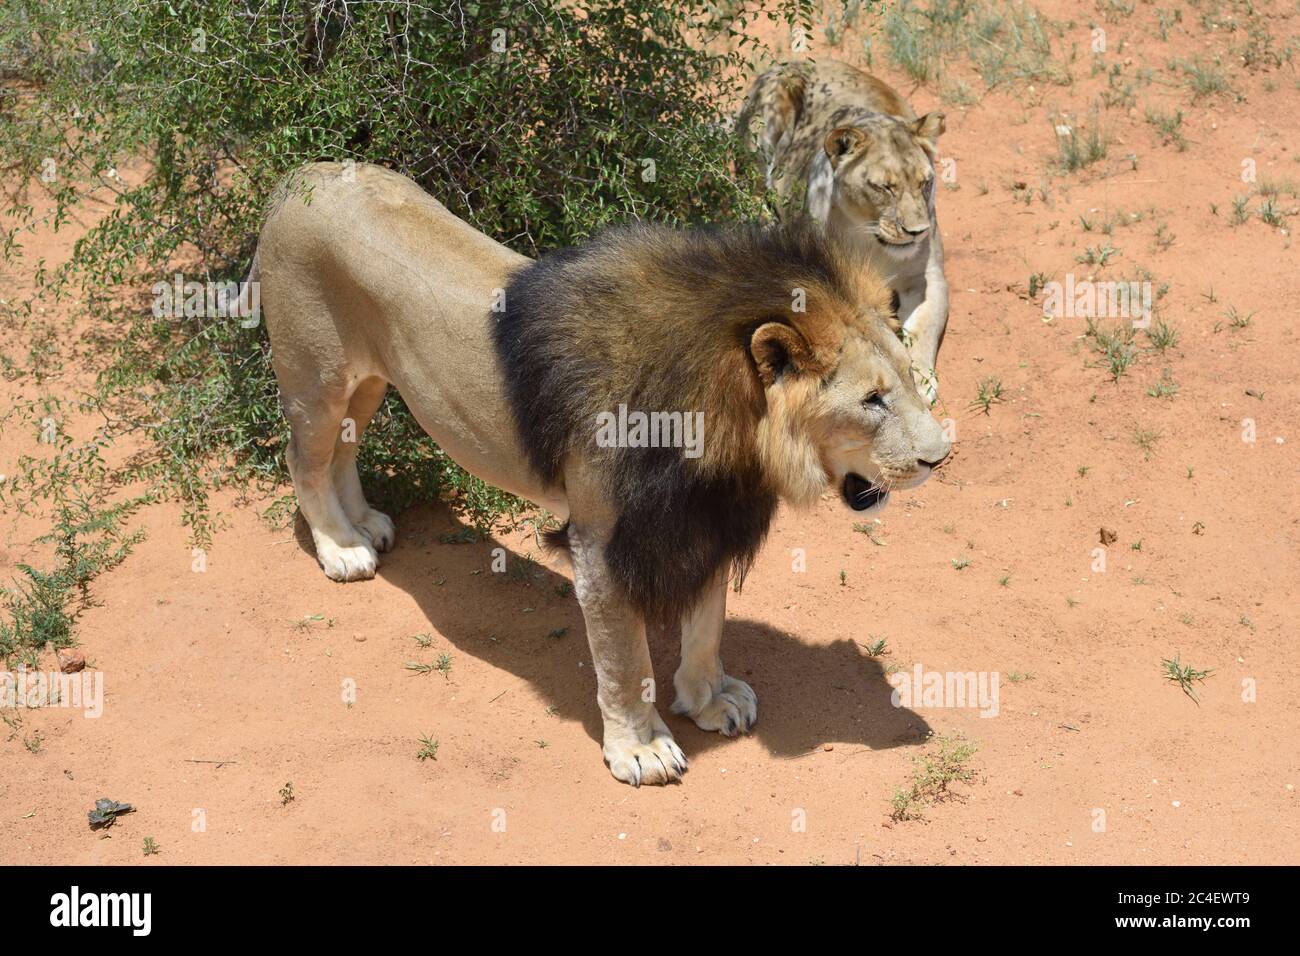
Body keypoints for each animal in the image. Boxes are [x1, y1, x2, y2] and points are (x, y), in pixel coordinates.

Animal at [252, 162, 951, 786]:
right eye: (872, 400)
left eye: (911, 379)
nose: (941, 455)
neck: (728, 436)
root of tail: (299, 177)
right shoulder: (603, 545)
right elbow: (625, 658)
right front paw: (640, 749)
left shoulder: (704, 521)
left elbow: (706, 626)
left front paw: (709, 701)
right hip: (317, 377)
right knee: (302, 458)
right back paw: (341, 548)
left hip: (368, 381)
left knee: (343, 452)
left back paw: (365, 526)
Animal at [739, 58, 949, 402]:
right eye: (884, 187)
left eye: (925, 182)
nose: (918, 231)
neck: (870, 239)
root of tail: (793, 61)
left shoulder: (928, 277)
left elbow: (925, 327)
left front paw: (920, 377)